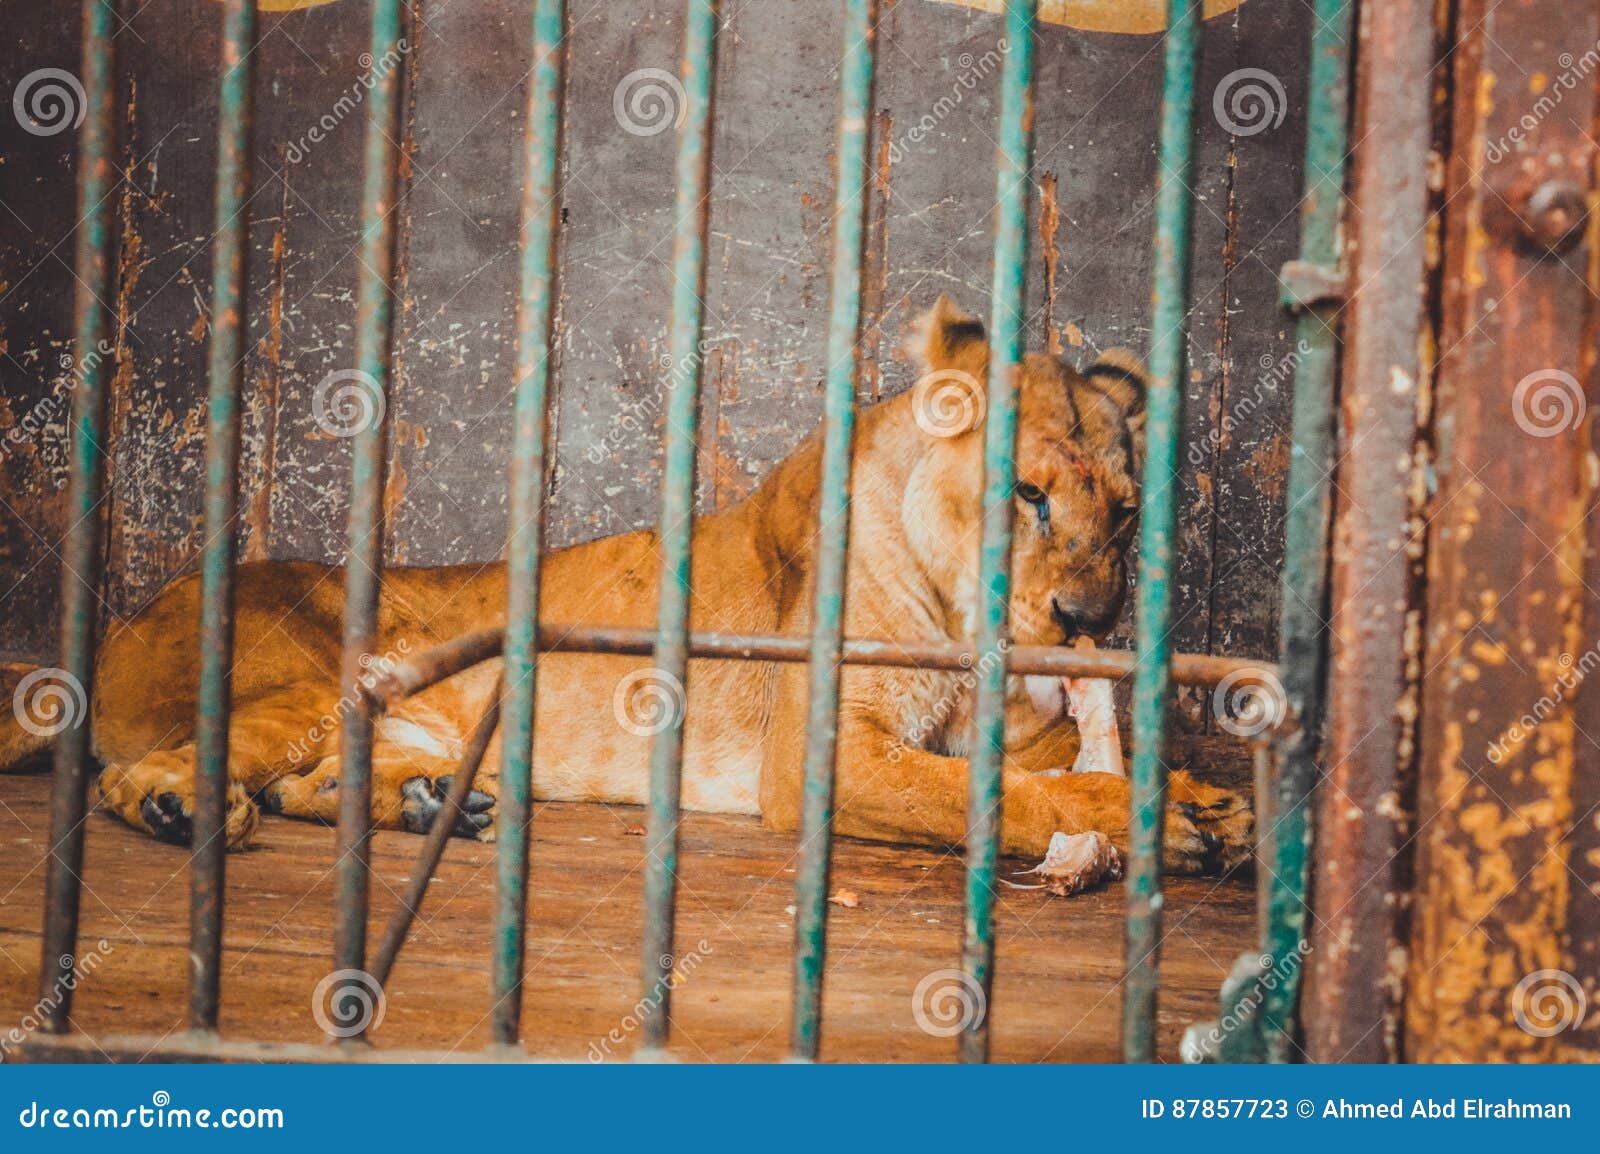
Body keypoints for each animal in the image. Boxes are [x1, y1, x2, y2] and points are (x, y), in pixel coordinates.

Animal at [0, 297, 1250, 872]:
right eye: (1027, 495)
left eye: (1124, 513)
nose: (1086, 620)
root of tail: (116, 621)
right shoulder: (824, 756)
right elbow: (998, 793)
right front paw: (1169, 816)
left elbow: (1056, 765)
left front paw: (1208, 798)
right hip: (305, 676)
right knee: (152, 769)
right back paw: (182, 809)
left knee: (322, 778)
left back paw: (429, 804)